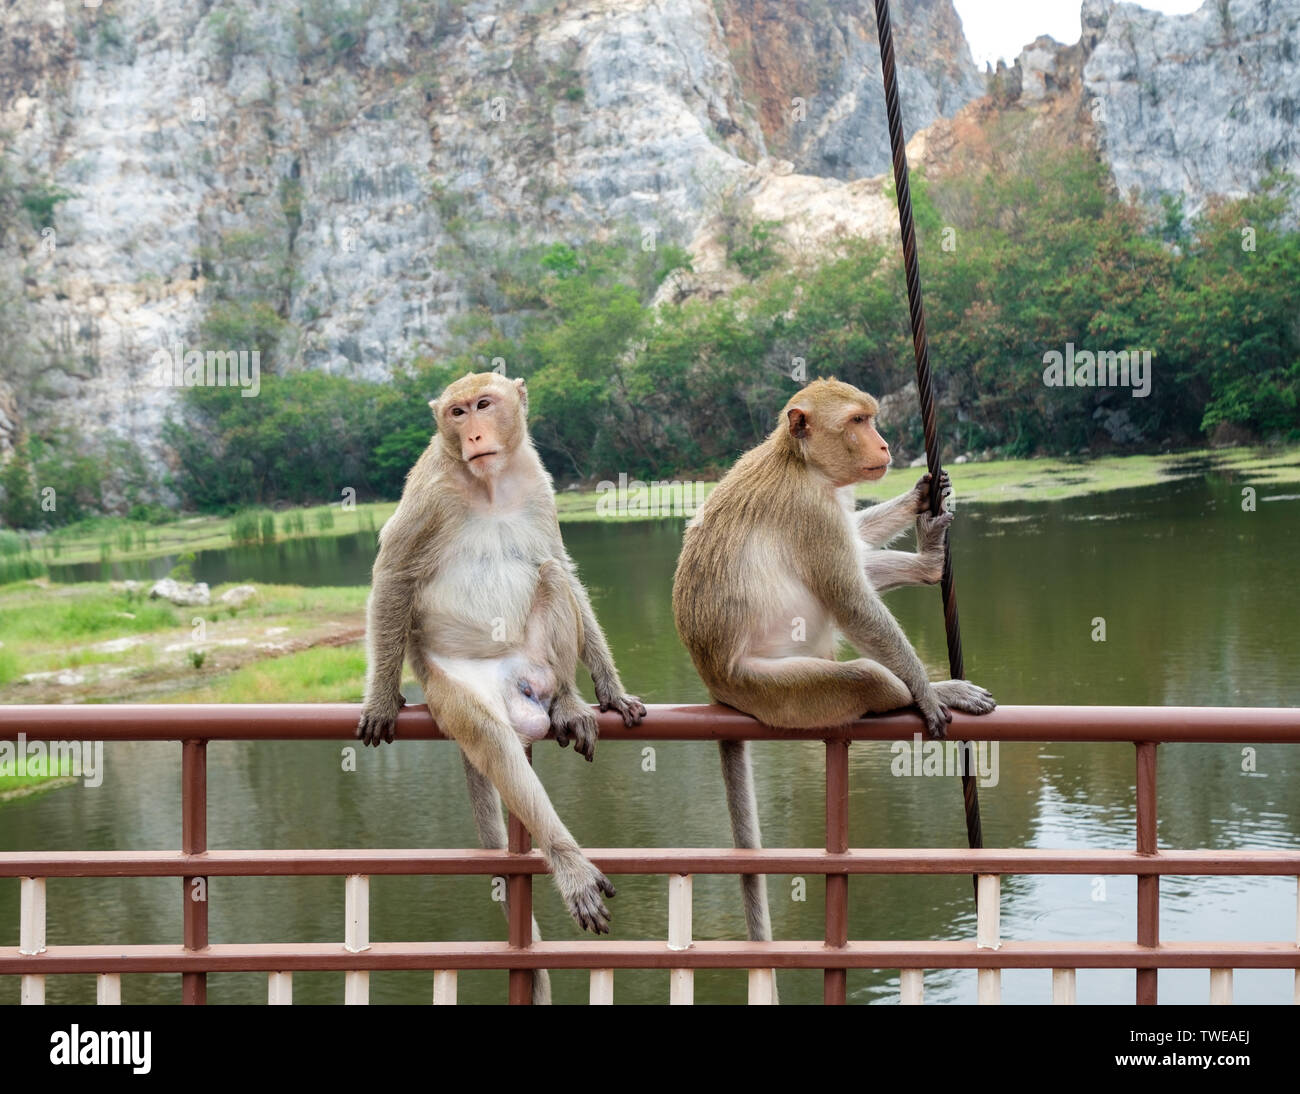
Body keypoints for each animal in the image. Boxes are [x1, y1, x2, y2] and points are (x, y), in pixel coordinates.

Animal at [356, 371, 646, 1004]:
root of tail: (515, 680)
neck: (486, 486)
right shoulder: (430, 490)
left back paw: (569, 701)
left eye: (484, 405)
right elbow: (393, 571)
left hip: (534, 661)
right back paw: (568, 862)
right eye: (457, 412)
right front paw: (381, 697)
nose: (473, 434)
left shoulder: (538, 483)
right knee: (492, 739)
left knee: (551, 573)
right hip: (452, 685)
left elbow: (562, 563)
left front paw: (610, 689)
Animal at [671, 377, 995, 986]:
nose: (886, 445)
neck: (804, 466)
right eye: (857, 421)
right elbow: (850, 602)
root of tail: (714, 682)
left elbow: (857, 543)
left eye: (872, 418)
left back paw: (927, 563)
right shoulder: (811, 512)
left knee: (860, 560)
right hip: (777, 689)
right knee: (861, 665)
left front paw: (919, 494)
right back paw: (928, 687)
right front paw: (926, 690)